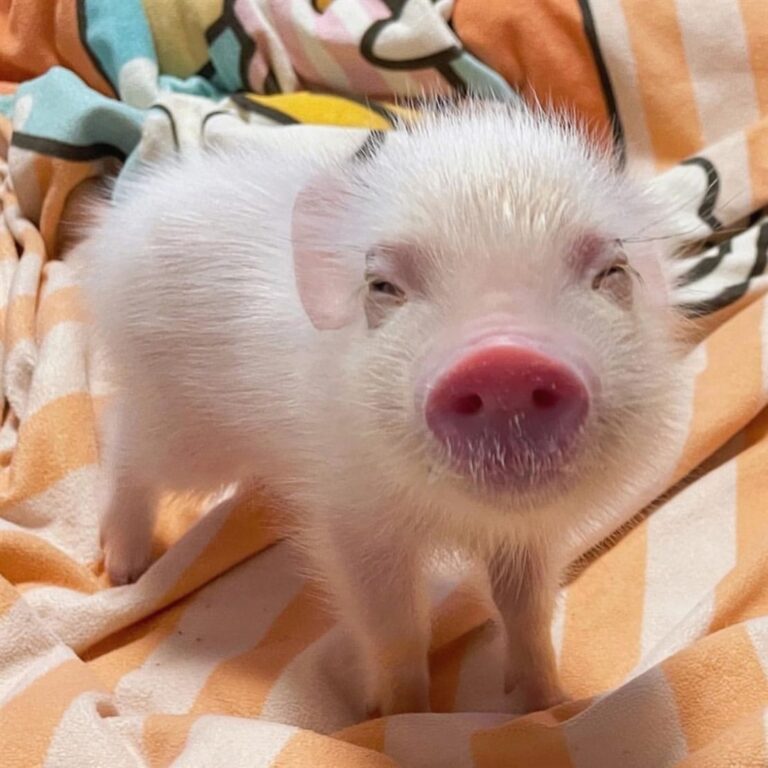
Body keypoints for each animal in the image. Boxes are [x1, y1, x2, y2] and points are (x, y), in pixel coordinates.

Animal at [76, 99, 685, 716]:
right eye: (383, 286)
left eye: (611, 273)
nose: (505, 360)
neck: (457, 517)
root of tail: (115, 234)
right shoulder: (353, 518)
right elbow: (394, 626)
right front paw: (400, 717)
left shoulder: (533, 536)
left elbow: (527, 610)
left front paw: (551, 705)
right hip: (184, 427)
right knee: (126, 444)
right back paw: (123, 572)